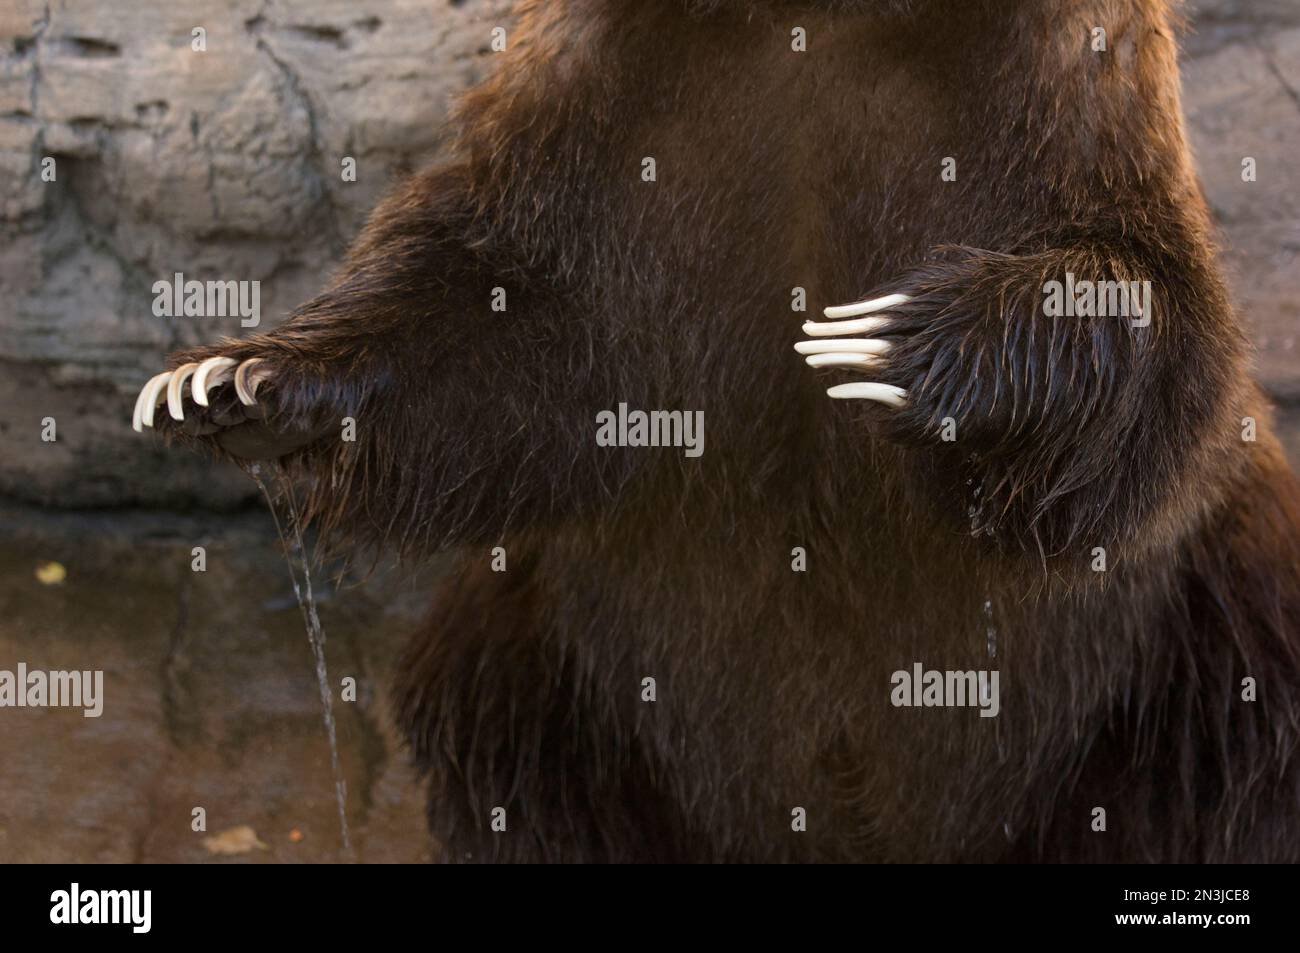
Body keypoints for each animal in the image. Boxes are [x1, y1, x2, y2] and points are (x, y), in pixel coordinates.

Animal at [132, 0, 1300, 861]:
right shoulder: (617, 113)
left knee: (1233, 738)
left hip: (1169, 642)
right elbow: (498, 310)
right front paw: (230, 382)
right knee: (505, 733)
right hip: (574, 665)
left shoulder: (1054, 84)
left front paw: (893, 340)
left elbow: (1152, 313)